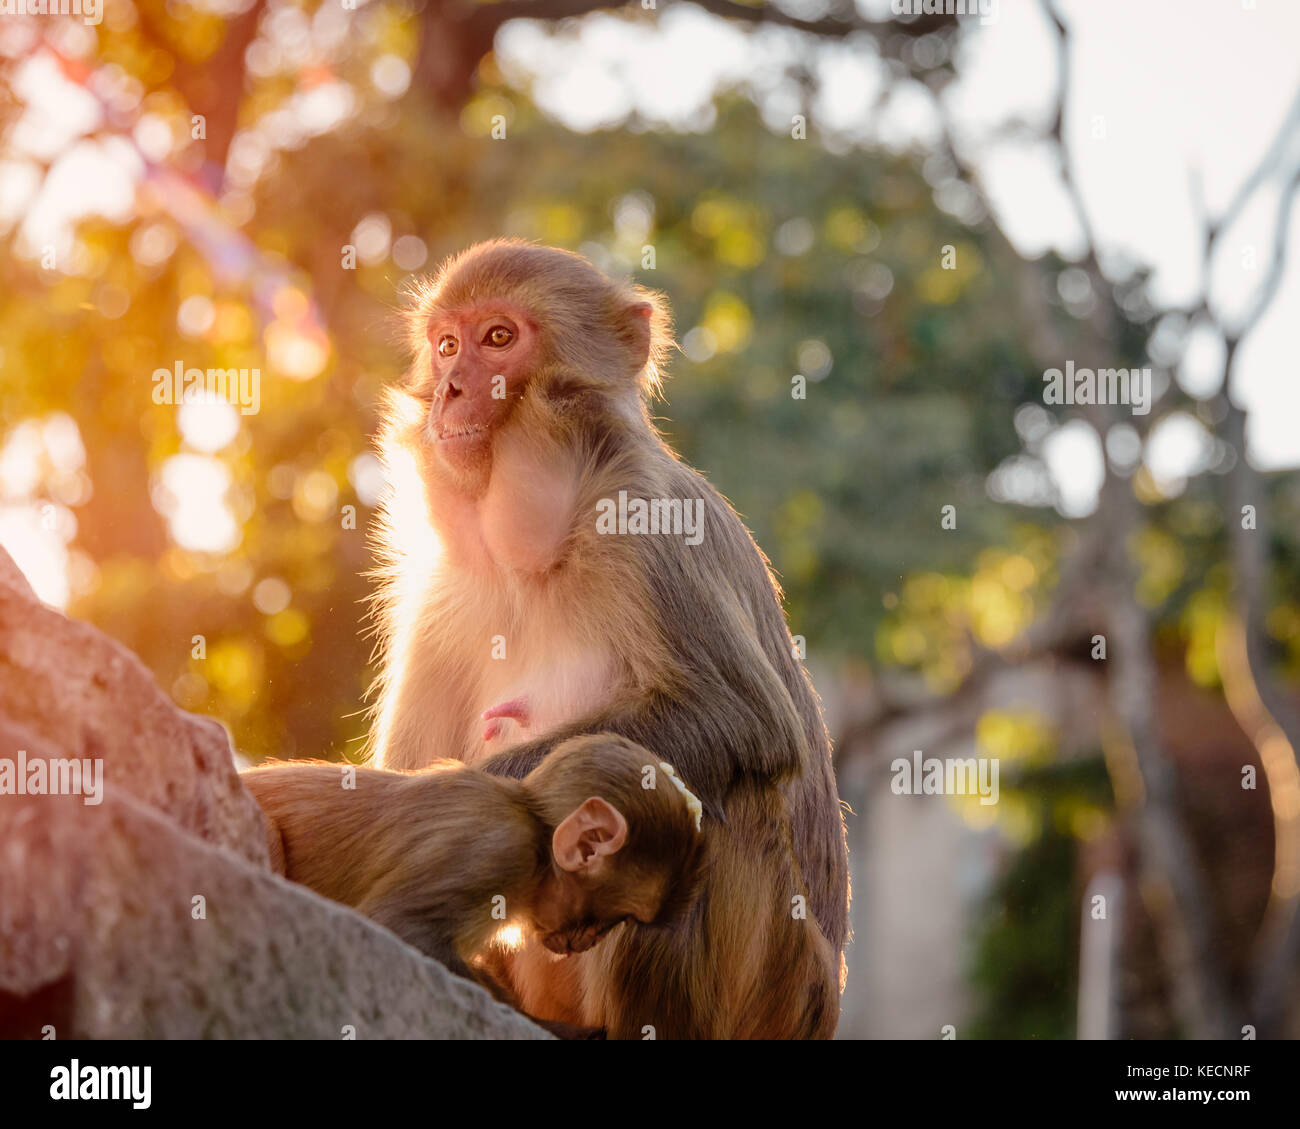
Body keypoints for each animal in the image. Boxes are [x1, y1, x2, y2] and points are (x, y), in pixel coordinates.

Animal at [366, 239, 849, 1039]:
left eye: (498, 337)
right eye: (447, 346)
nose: (451, 392)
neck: (536, 550)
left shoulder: (646, 525)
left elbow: (742, 718)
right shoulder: (440, 595)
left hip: (776, 986)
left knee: (727, 792)